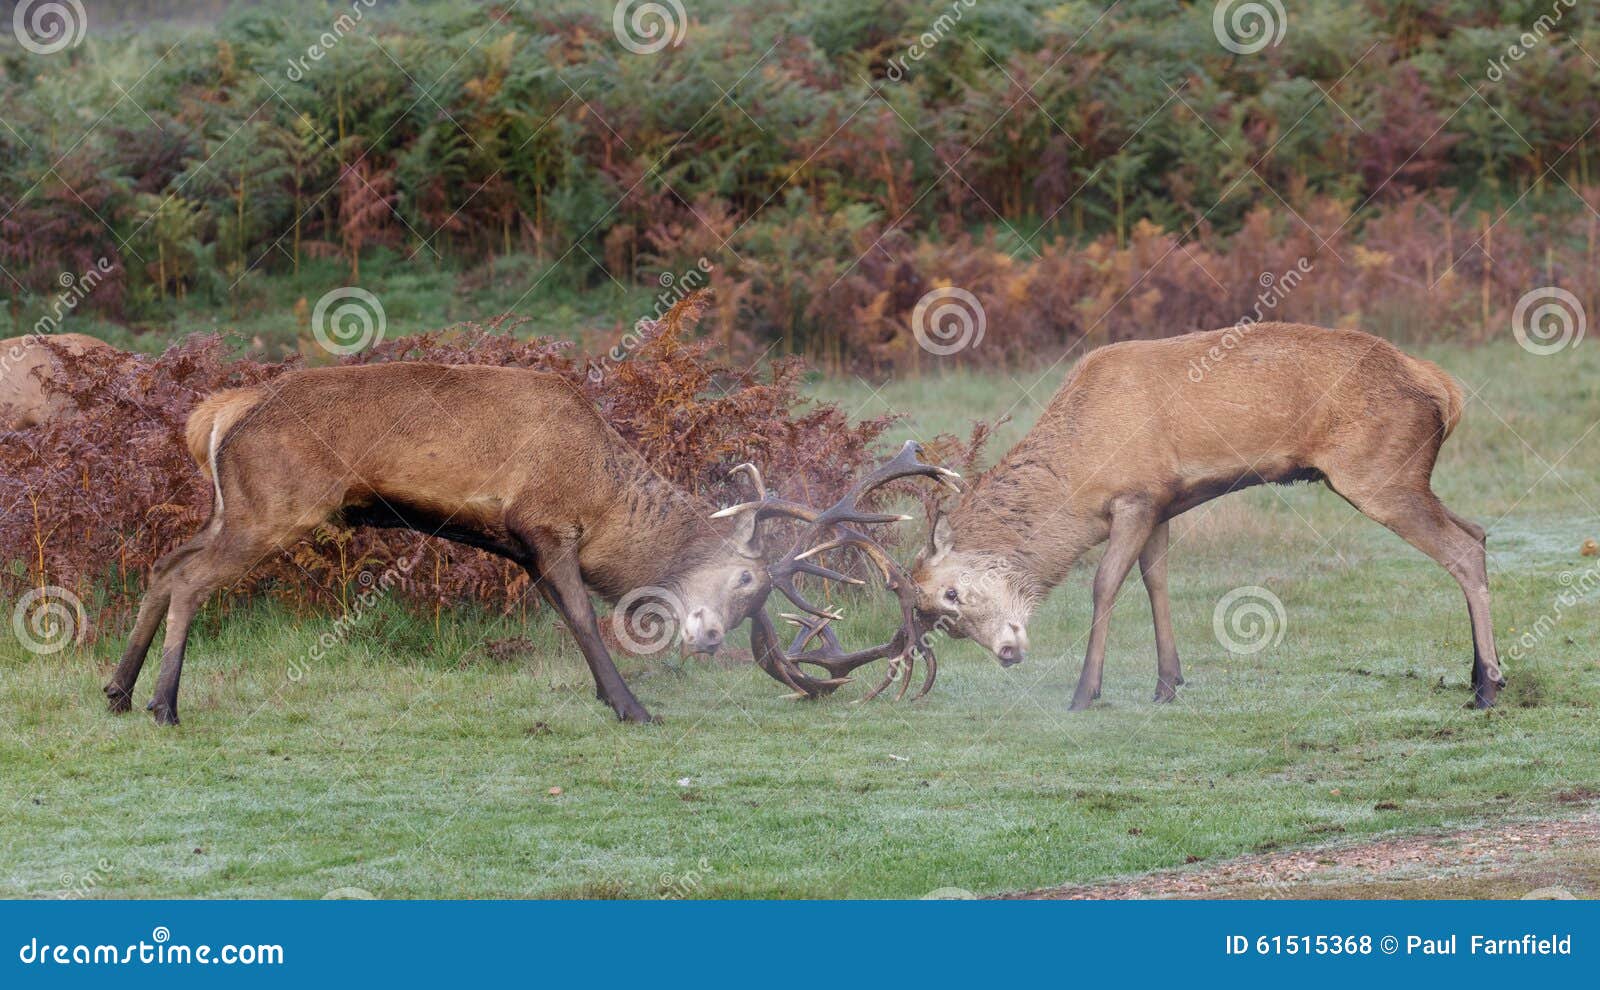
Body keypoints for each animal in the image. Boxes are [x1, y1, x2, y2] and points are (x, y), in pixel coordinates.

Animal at [105, 361, 934, 726]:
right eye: (746, 582)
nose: (704, 637)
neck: (602, 495)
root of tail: (216, 413)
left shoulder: (521, 549)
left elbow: (567, 618)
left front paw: (610, 697)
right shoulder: (546, 524)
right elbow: (585, 618)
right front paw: (632, 707)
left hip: (237, 506)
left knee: (165, 563)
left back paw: (118, 691)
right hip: (275, 506)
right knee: (191, 578)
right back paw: (164, 705)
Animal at [910, 322, 1503, 711]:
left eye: (951, 594)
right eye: (941, 621)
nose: (1008, 653)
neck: (1078, 478)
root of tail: (1443, 390)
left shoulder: (1135, 496)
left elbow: (1105, 584)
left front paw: (1084, 692)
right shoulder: (1163, 504)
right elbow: (1156, 580)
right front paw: (1167, 682)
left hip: (1378, 474)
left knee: (1462, 549)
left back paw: (1487, 686)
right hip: (1401, 477)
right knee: (1477, 531)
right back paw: (1480, 674)